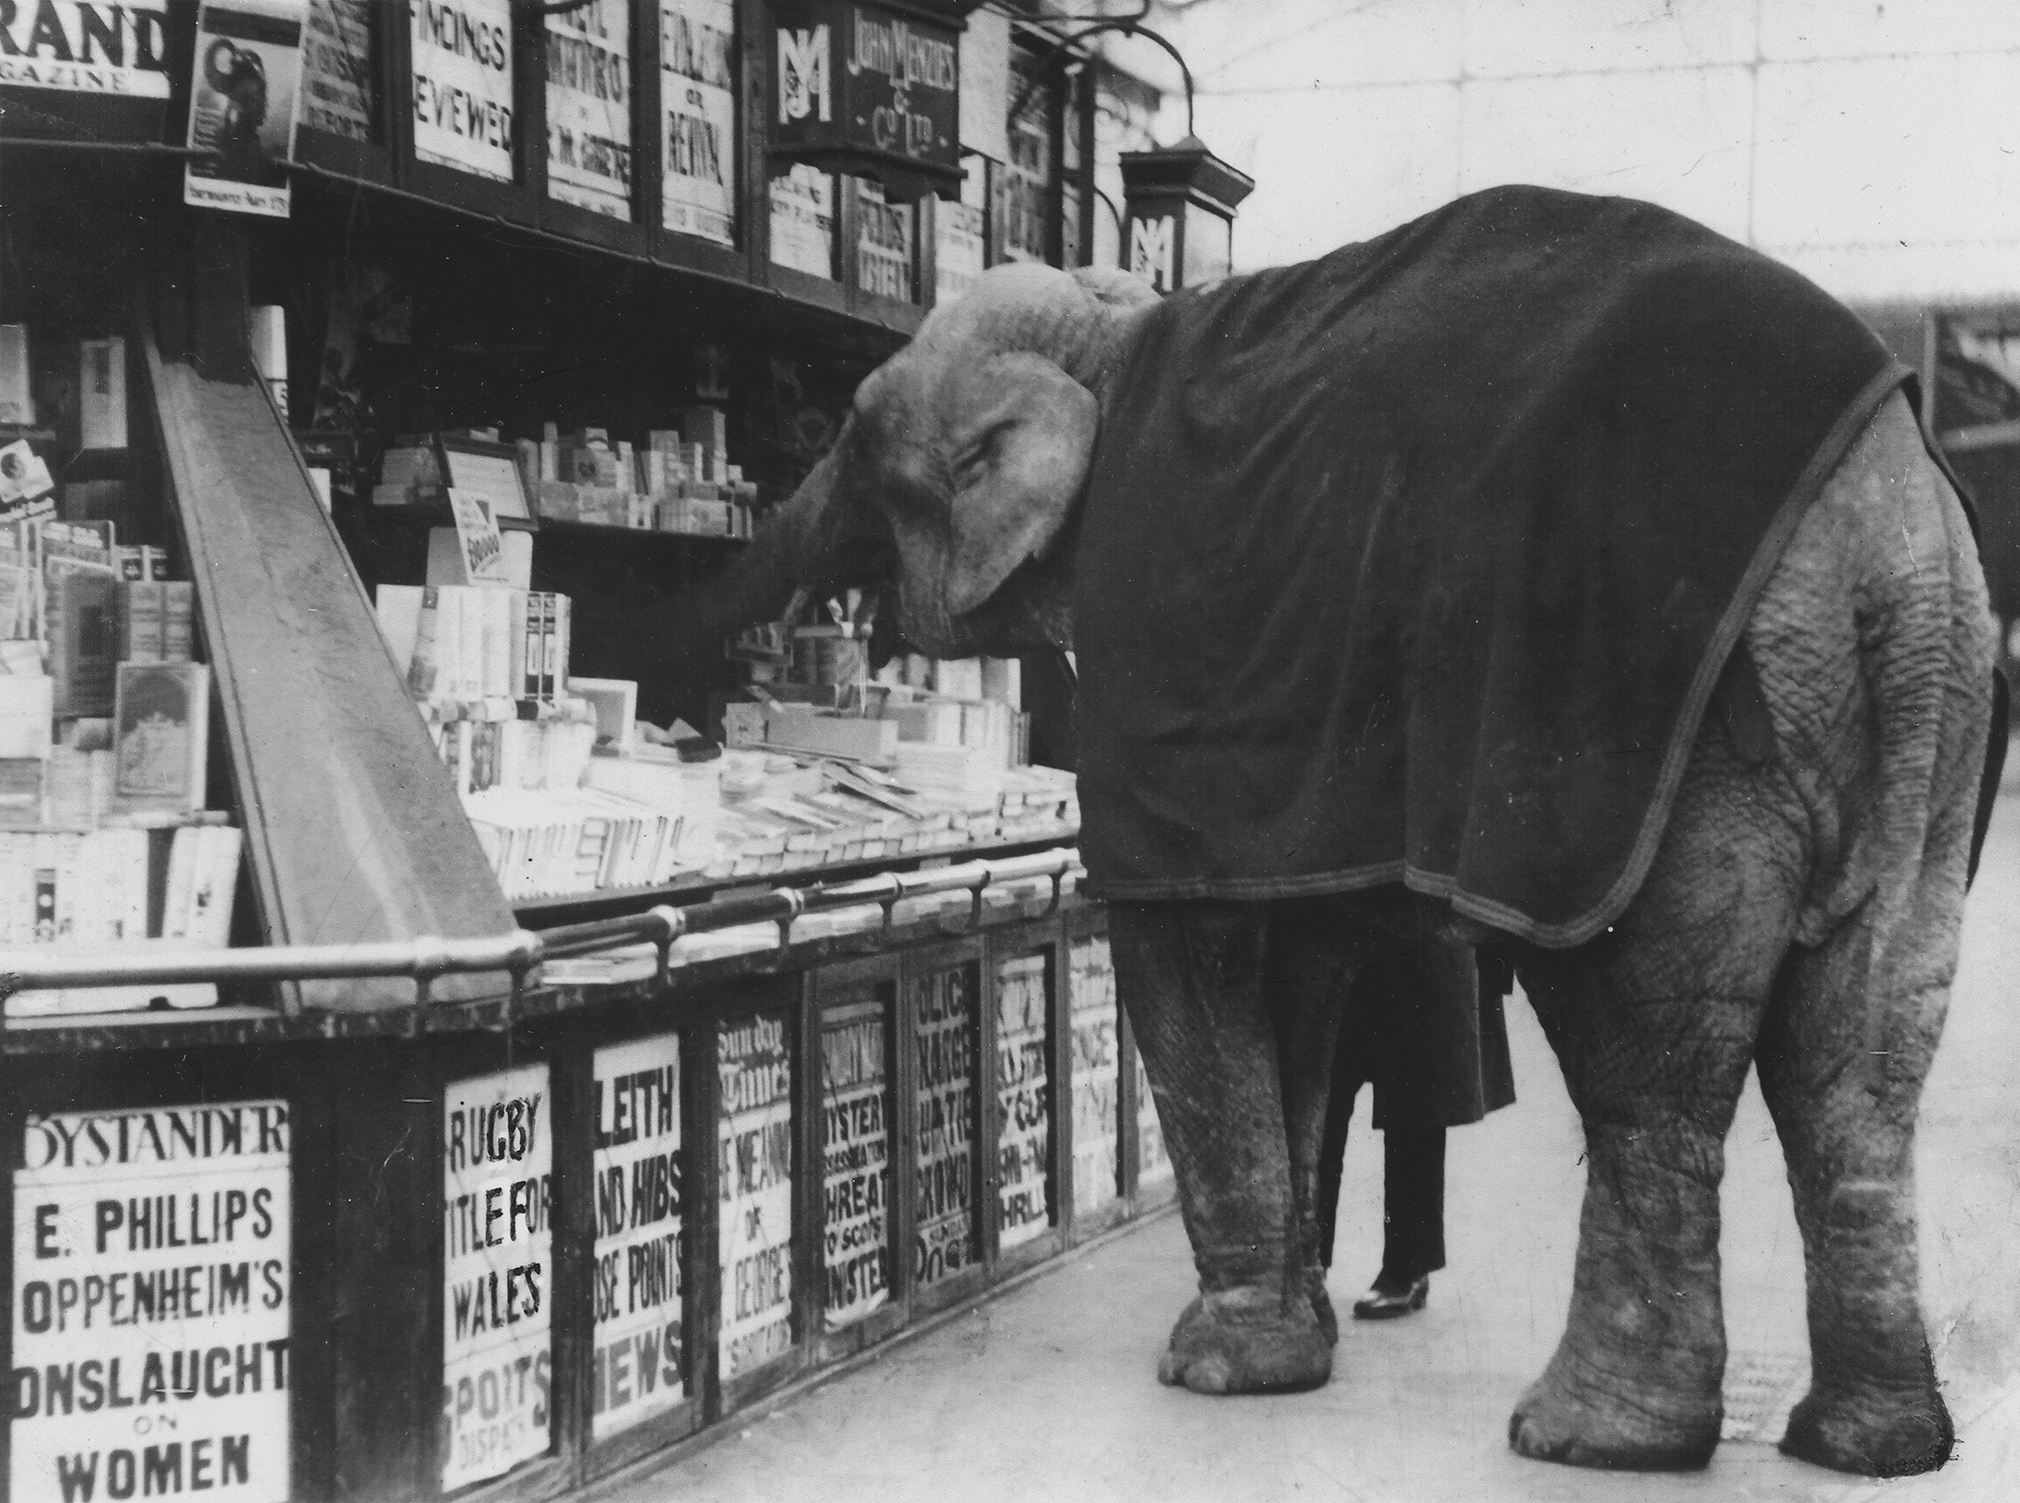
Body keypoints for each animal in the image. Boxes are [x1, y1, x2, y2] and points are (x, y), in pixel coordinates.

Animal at [667, 187, 2001, 1476]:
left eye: (855, 438)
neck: (1106, 329)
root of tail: (1885, 512)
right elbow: (1298, 959)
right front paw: (1287, 1338)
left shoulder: (1170, 646)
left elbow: (1181, 944)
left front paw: (1213, 1373)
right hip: (1935, 685)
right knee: (1861, 1056)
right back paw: (1869, 1446)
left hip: (1650, 718)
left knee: (1647, 1049)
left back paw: (1591, 1439)